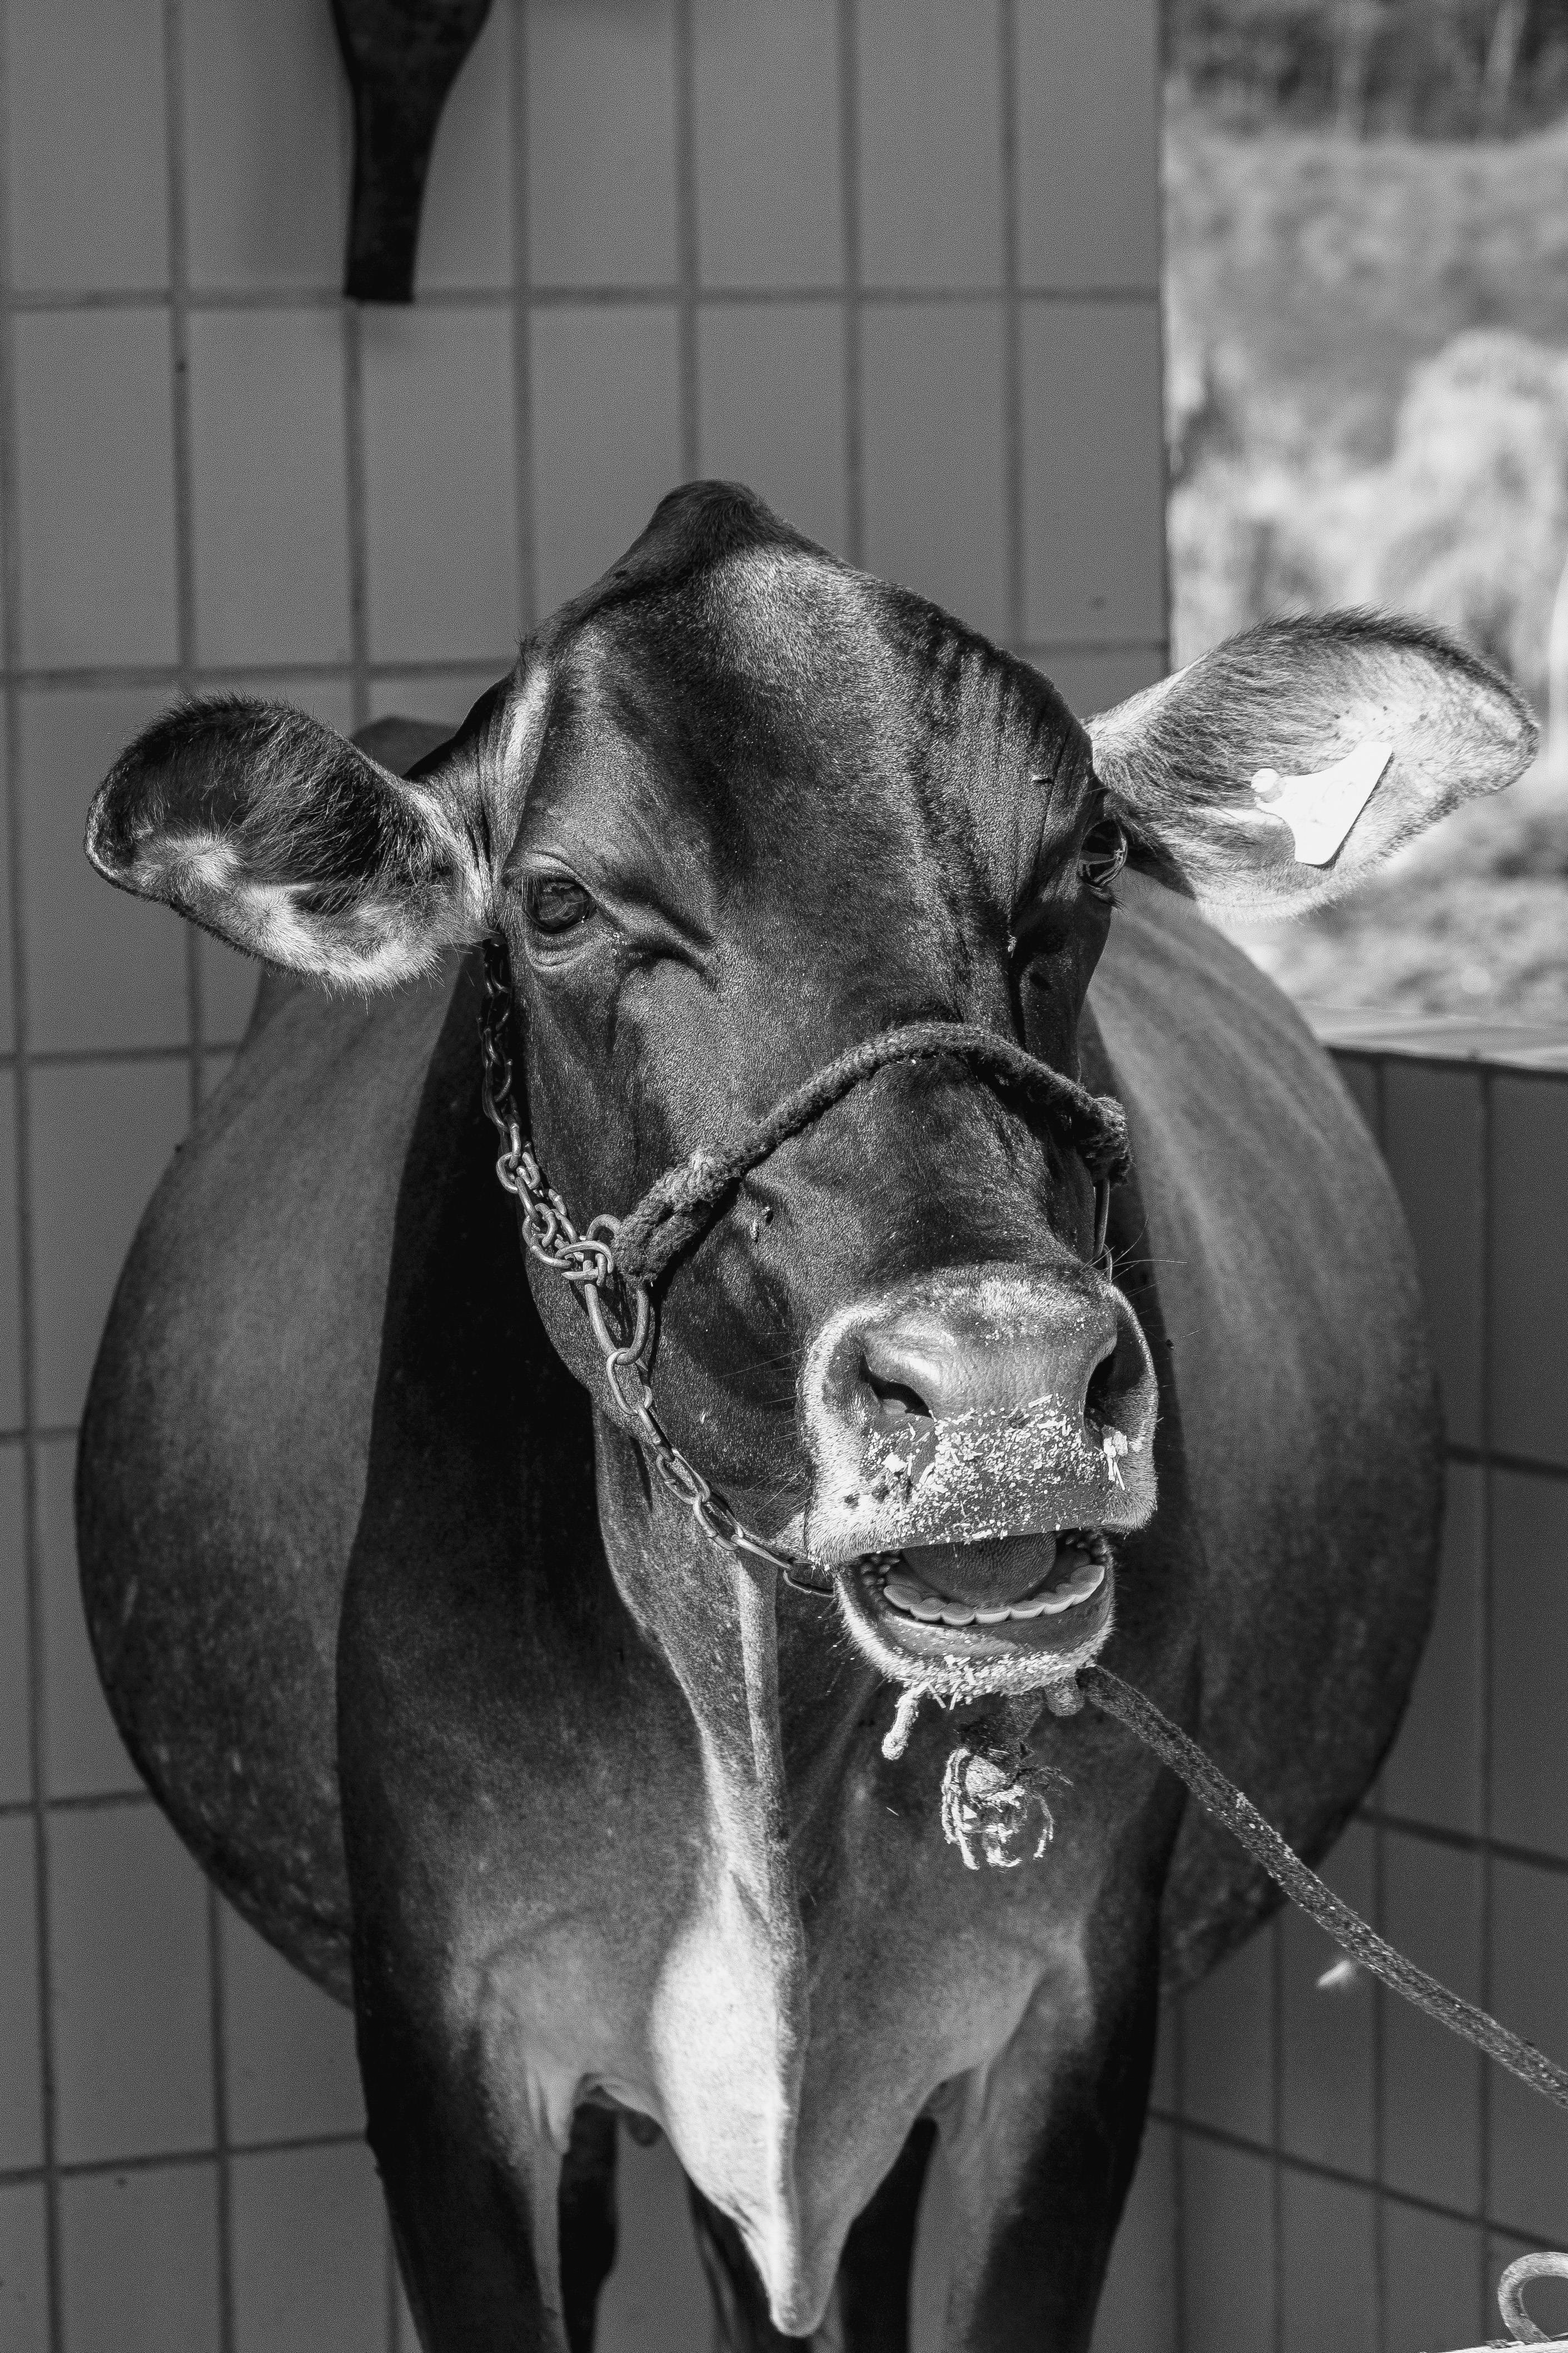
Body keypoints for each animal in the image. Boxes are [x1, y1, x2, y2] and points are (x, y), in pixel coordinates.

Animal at [77, 482, 1533, 2351]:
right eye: (558, 904)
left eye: (1087, 866)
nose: (1001, 1389)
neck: (757, 1706)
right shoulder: (445, 2030)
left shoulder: (1062, 2021)